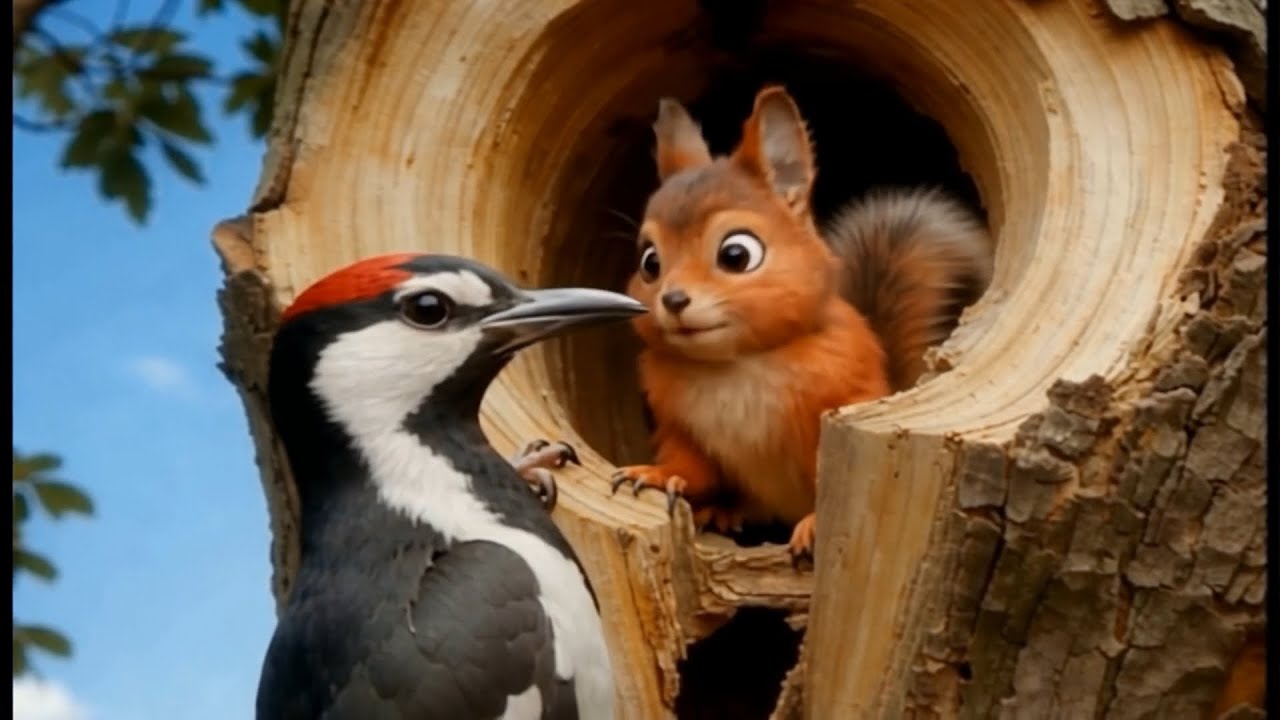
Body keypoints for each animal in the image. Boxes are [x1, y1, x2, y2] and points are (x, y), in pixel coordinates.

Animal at [608, 85, 995, 562]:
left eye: (736, 254)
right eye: (649, 262)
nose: (674, 300)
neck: (734, 364)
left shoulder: (843, 403)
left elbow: (828, 481)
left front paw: (812, 525)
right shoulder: (680, 426)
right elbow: (691, 465)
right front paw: (657, 474)